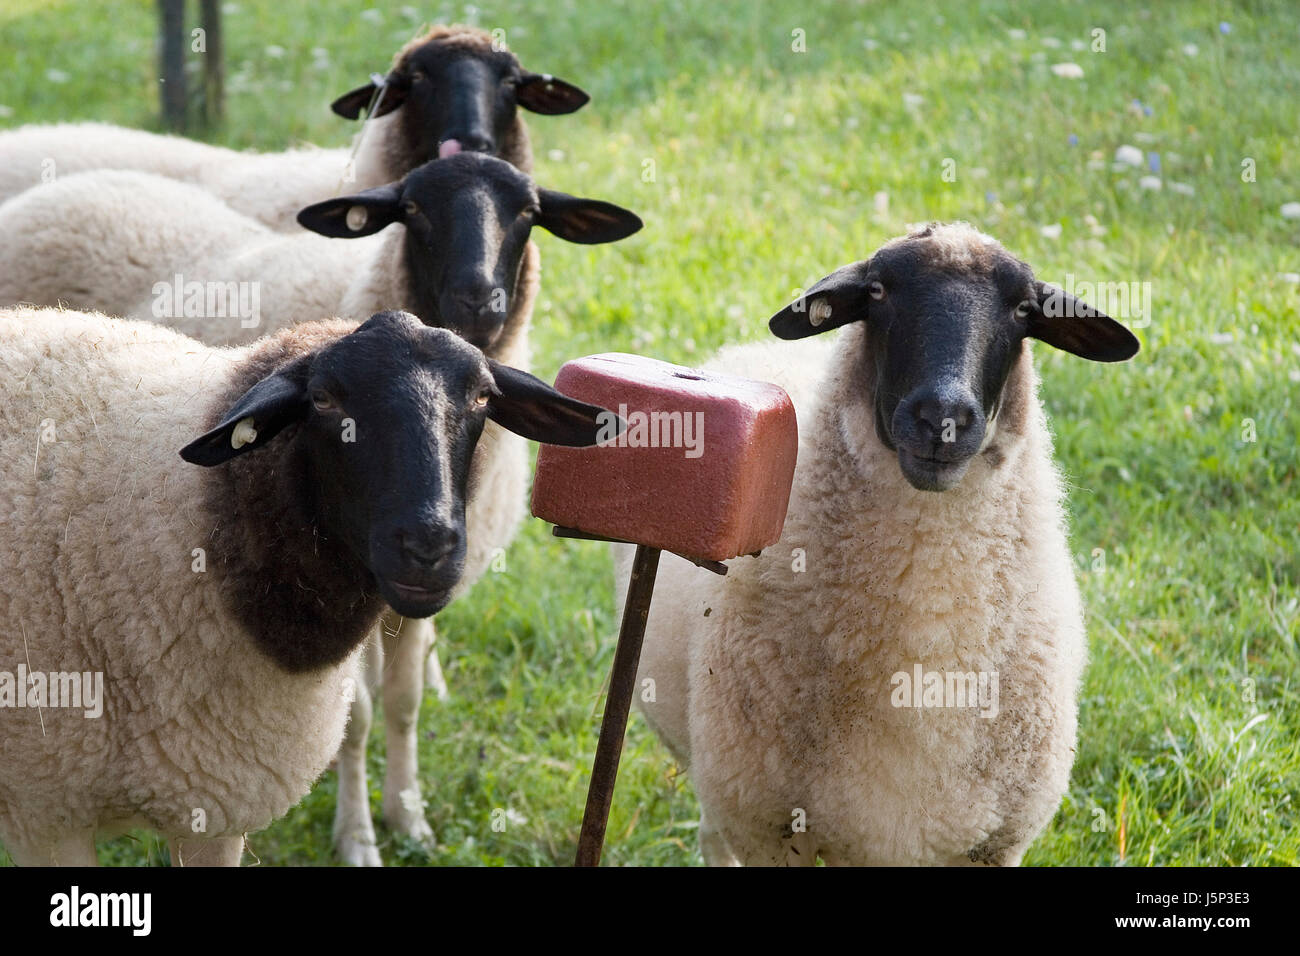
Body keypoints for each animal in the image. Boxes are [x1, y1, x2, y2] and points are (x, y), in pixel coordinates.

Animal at [0, 150, 643, 865]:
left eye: (481, 398)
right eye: (326, 401)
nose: (429, 545)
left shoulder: (210, 802)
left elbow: (402, 699)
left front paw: (405, 815)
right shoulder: (47, 811)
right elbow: (360, 716)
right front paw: (359, 834)